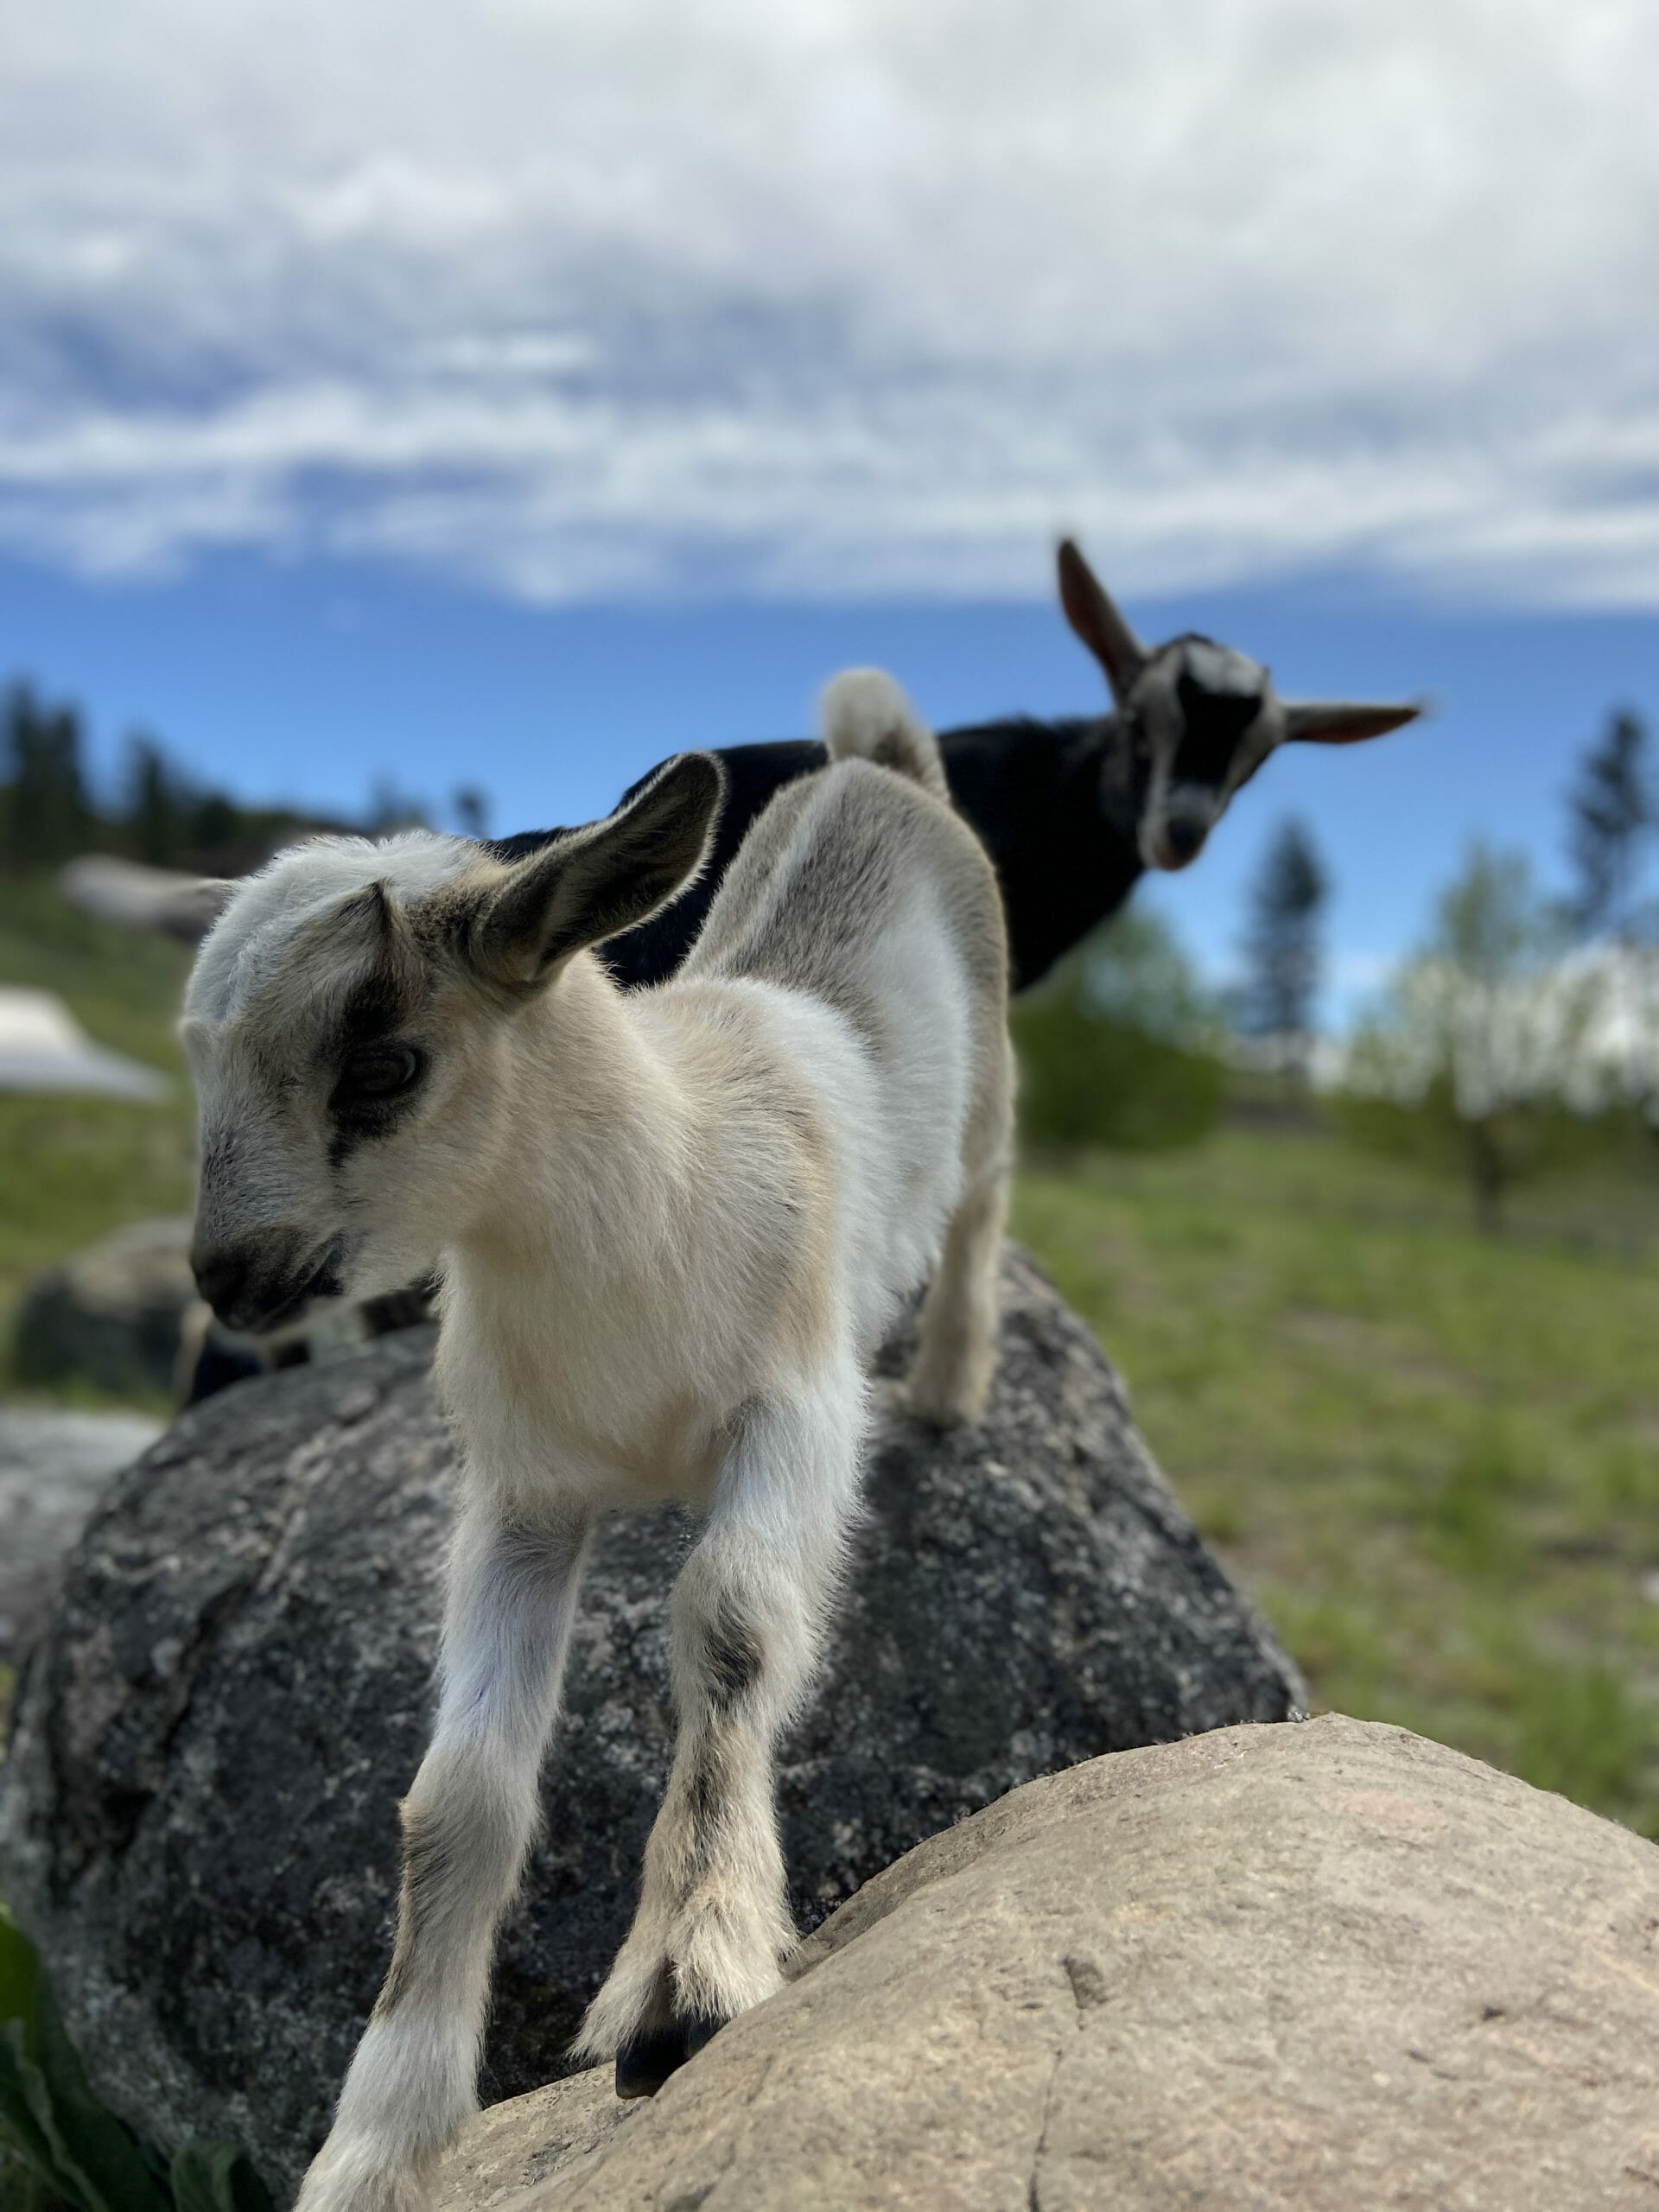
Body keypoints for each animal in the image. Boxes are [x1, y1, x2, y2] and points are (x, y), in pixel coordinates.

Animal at [180, 671, 1012, 2212]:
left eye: (381, 1063)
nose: (232, 1280)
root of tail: (872, 763)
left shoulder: (793, 1412)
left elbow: (731, 1624)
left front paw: (686, 1979)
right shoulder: (521, 1494)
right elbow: (458, 1792)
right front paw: (378, 2143)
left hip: (992, 1089)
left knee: (985, 1211)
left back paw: (947, 1386)